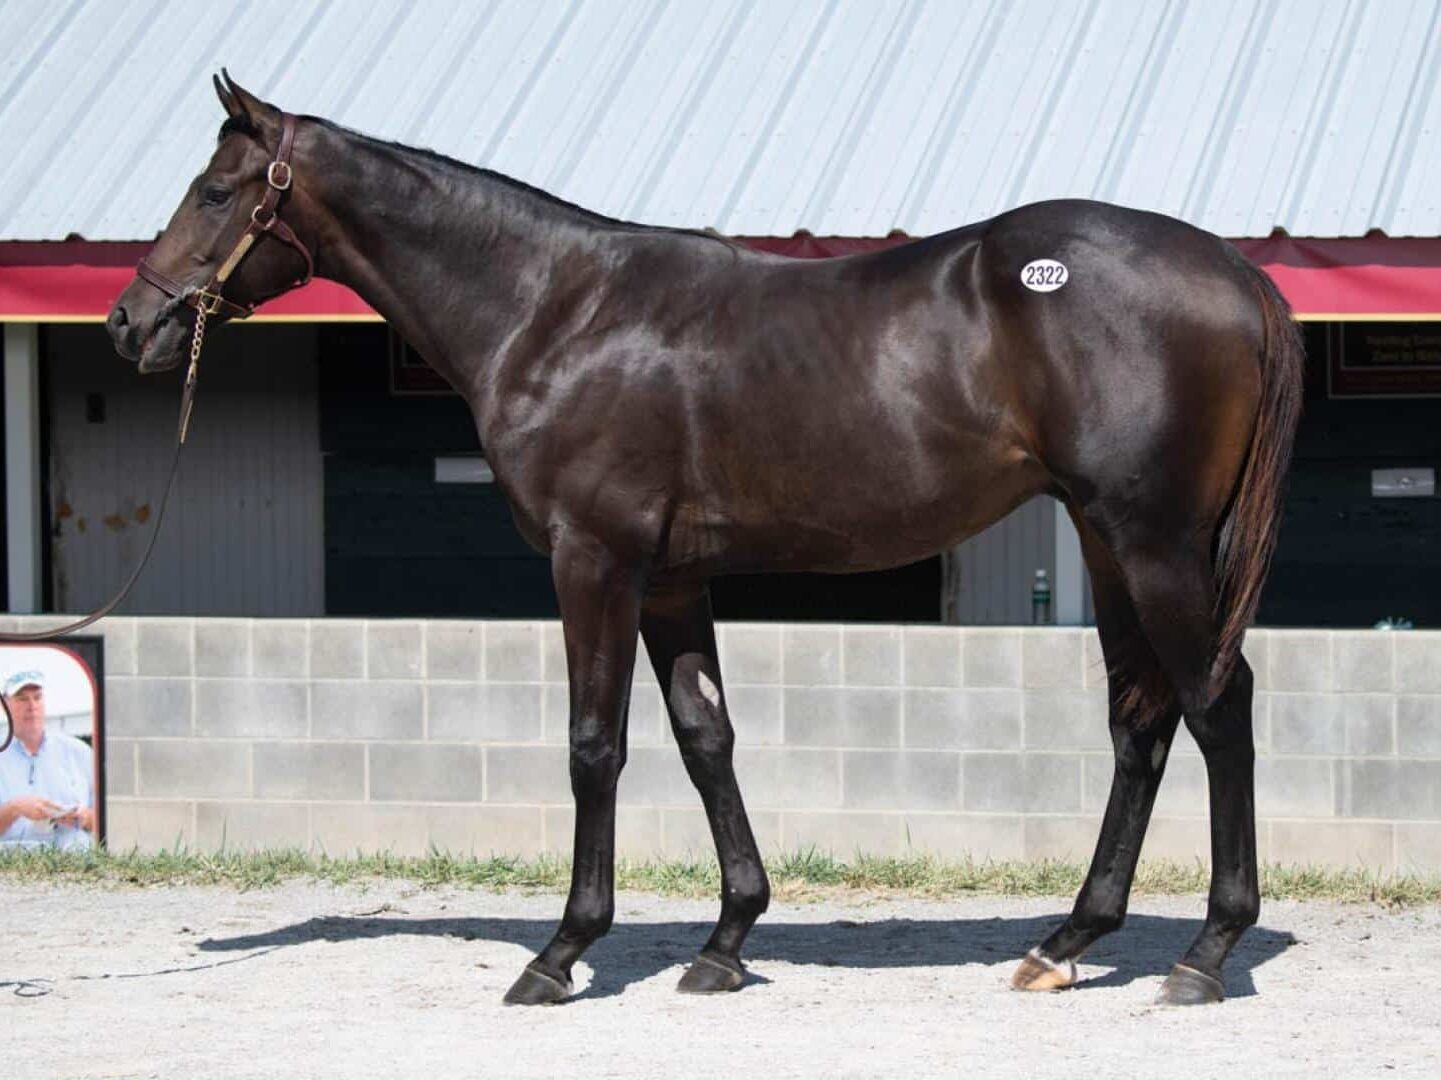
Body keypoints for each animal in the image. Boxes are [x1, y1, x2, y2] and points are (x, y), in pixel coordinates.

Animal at [107, 73, 1303, 1007]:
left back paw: (1203, 954)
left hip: (1152, 543)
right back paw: (1064, 943)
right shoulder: (673, 580)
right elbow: (703, 739)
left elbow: (595, 747)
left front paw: (560, 954)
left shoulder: (593, 561)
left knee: (1216, 703)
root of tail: (1234, 272)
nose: (130, 324)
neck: (557, 312)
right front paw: (726, 941)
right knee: (1140, 720)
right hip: (1105, 542)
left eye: (215, 191)